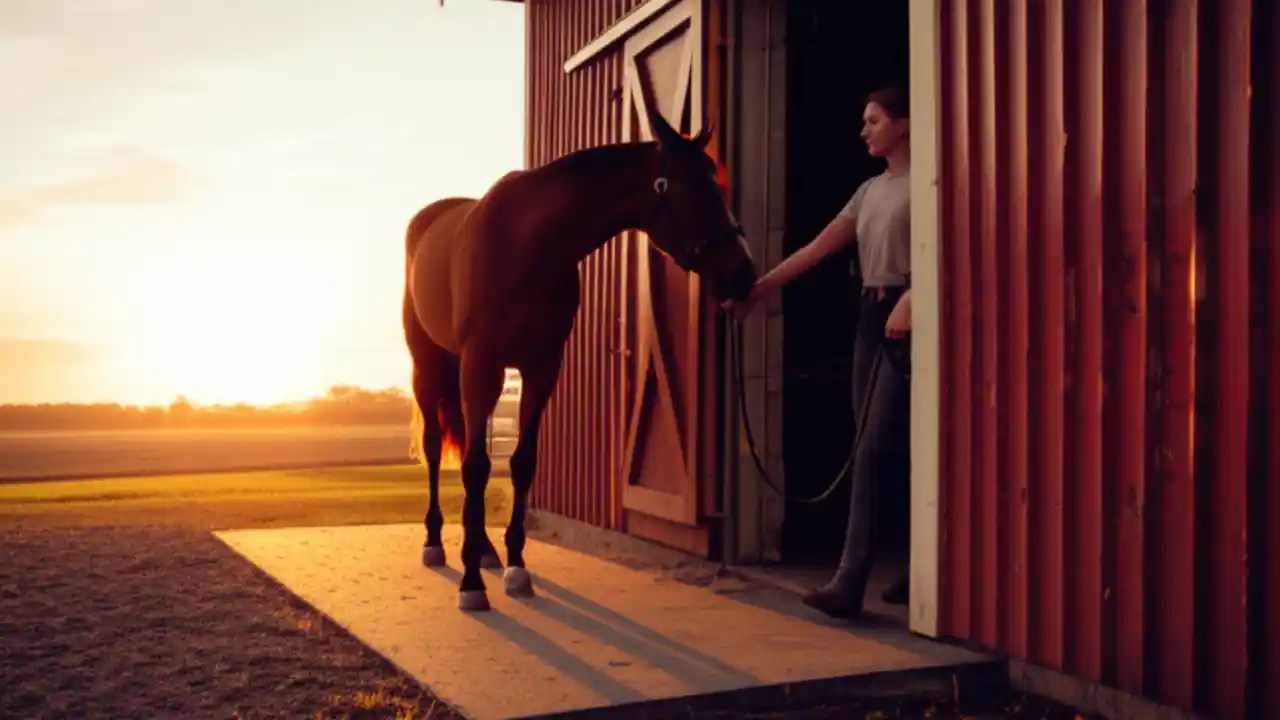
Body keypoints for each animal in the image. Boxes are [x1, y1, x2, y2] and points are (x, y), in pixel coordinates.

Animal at [402, 108, 758, 611]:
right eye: (691, 187)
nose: (743, 274)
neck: (526, 244)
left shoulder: (541, 367)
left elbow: (519, 463)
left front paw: (515, 567)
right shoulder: (481, 364)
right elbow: (474, 467)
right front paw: (471, 584)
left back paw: (486, 549)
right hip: (431, 368)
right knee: (436, 448)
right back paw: (434, 543)